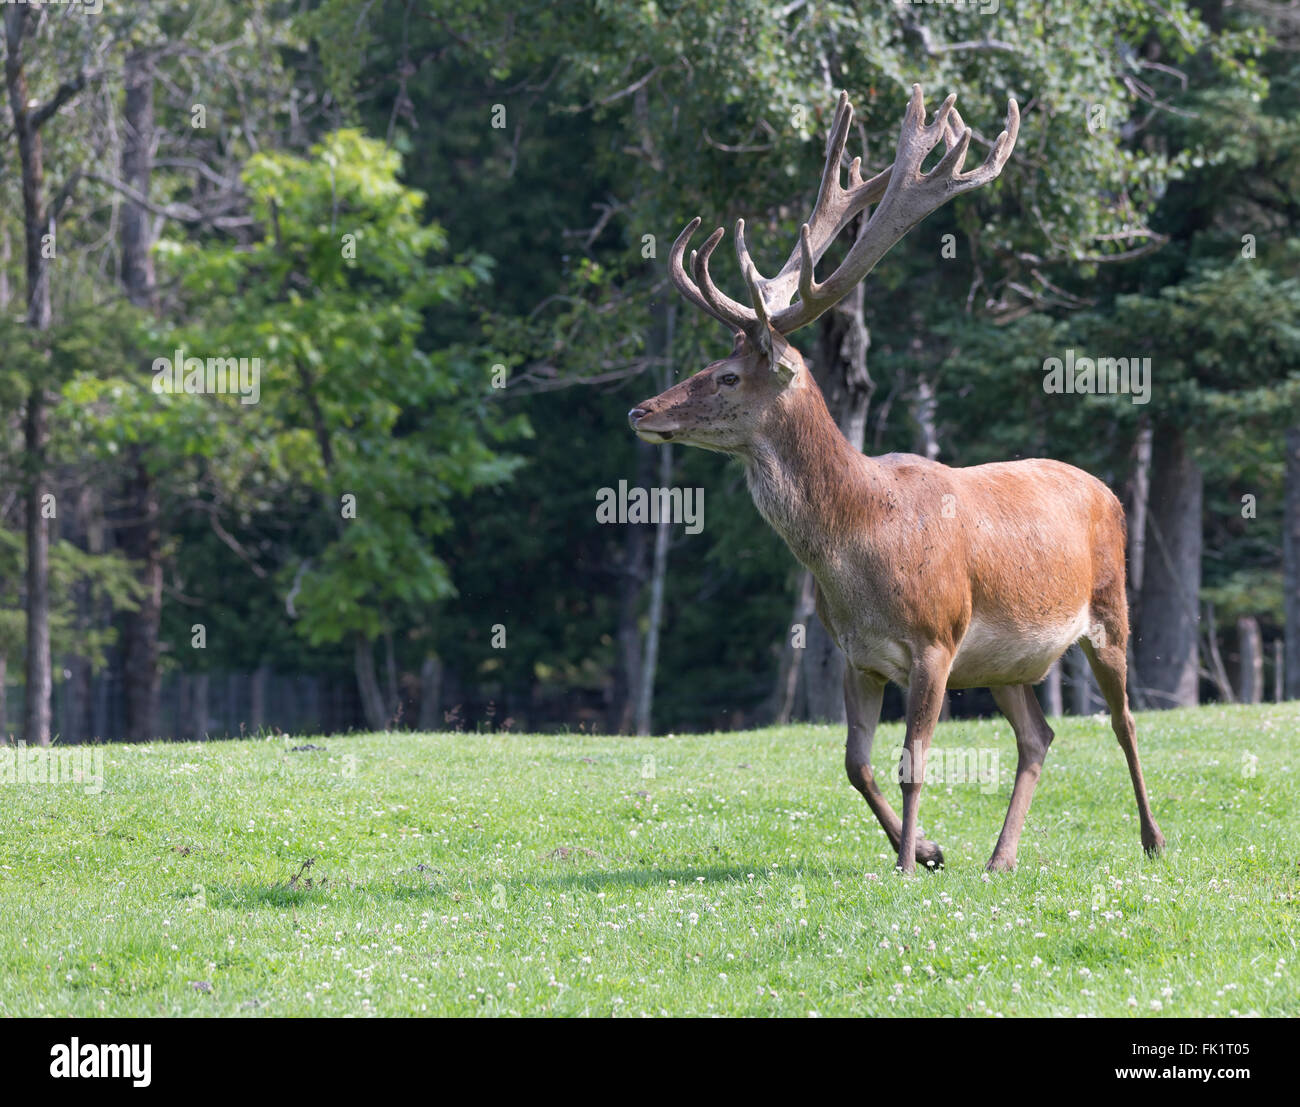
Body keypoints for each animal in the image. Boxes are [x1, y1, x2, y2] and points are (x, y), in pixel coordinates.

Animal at [628, 86, 1165, 873]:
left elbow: (913, 760)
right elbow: (856, 763)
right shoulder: (857, 655)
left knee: (1124, 720)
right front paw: (931, 849)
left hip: (1108, 608)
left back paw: (1153, 838)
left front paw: (911, 863)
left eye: (726, 375)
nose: (640, 409)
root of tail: (1108, 491)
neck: (858, 545)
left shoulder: (936, 641)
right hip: (1005, 663)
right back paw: (1000, 857)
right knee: (1038, 736)